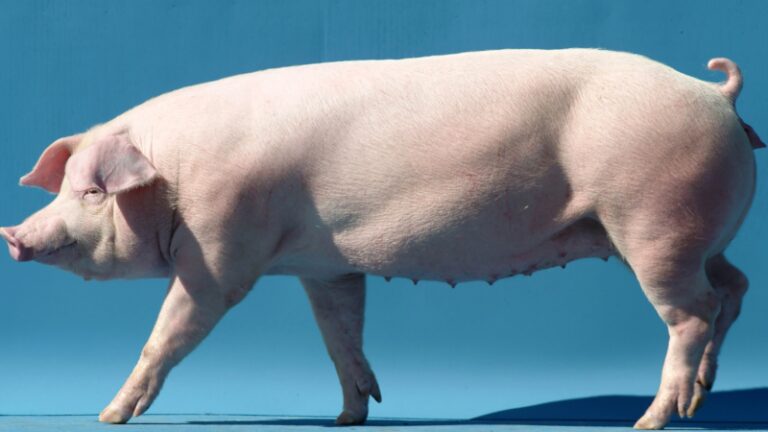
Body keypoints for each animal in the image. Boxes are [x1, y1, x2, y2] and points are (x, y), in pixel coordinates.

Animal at [1, 49, 764, 429]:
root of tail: (715, 95)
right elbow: (340, 334)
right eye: (66, 188)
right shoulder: (324, 264)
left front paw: (107, 417)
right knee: (734, 285)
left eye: (92, 192)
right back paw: (700, 399)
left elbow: (172, 330)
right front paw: (349, 416)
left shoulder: (220, 249)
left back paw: (653, 420)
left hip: (654, 220)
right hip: (696, 233)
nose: (13, 233)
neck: (177, 174)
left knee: (691, 314)